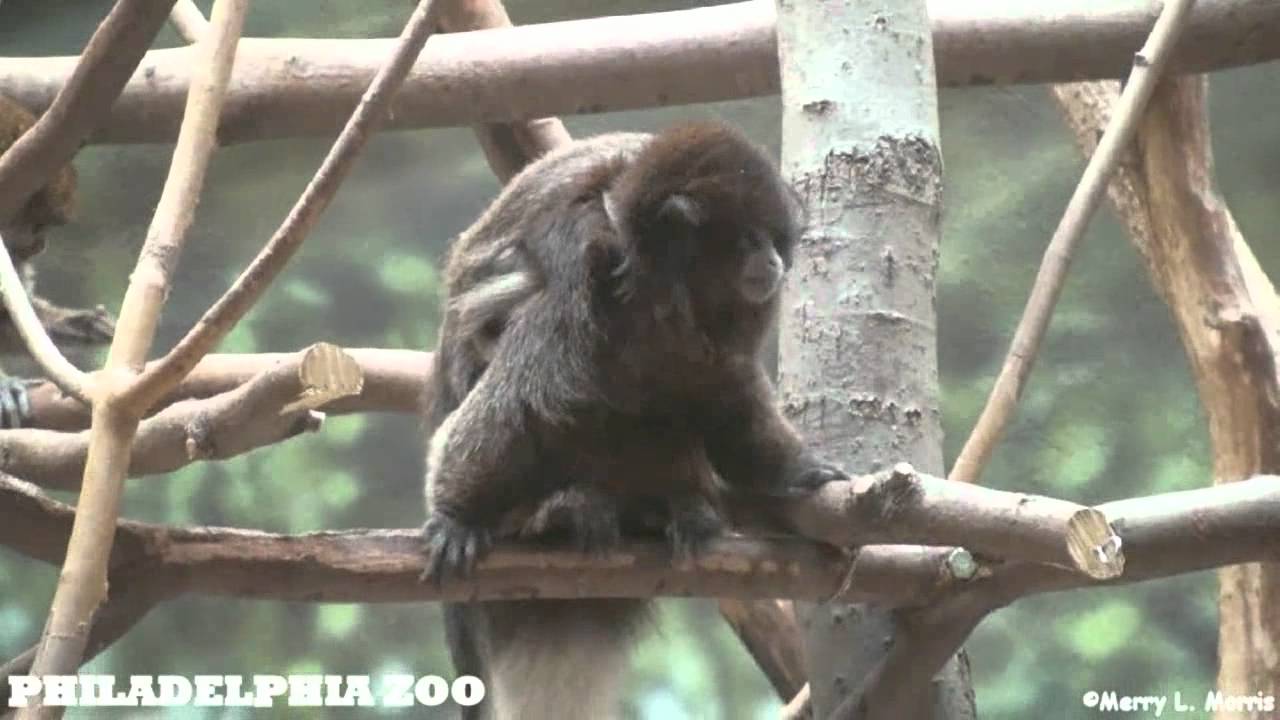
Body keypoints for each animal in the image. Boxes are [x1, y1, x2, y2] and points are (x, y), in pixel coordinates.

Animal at [421, 122, 847, 720]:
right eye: (747, 241)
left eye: (771, 237)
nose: (772, 260)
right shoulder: (579, 264)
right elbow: (521, 401)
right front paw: (457, 516)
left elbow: (727, 394)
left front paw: (797, 471)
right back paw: (568, 508)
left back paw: (670, 507)